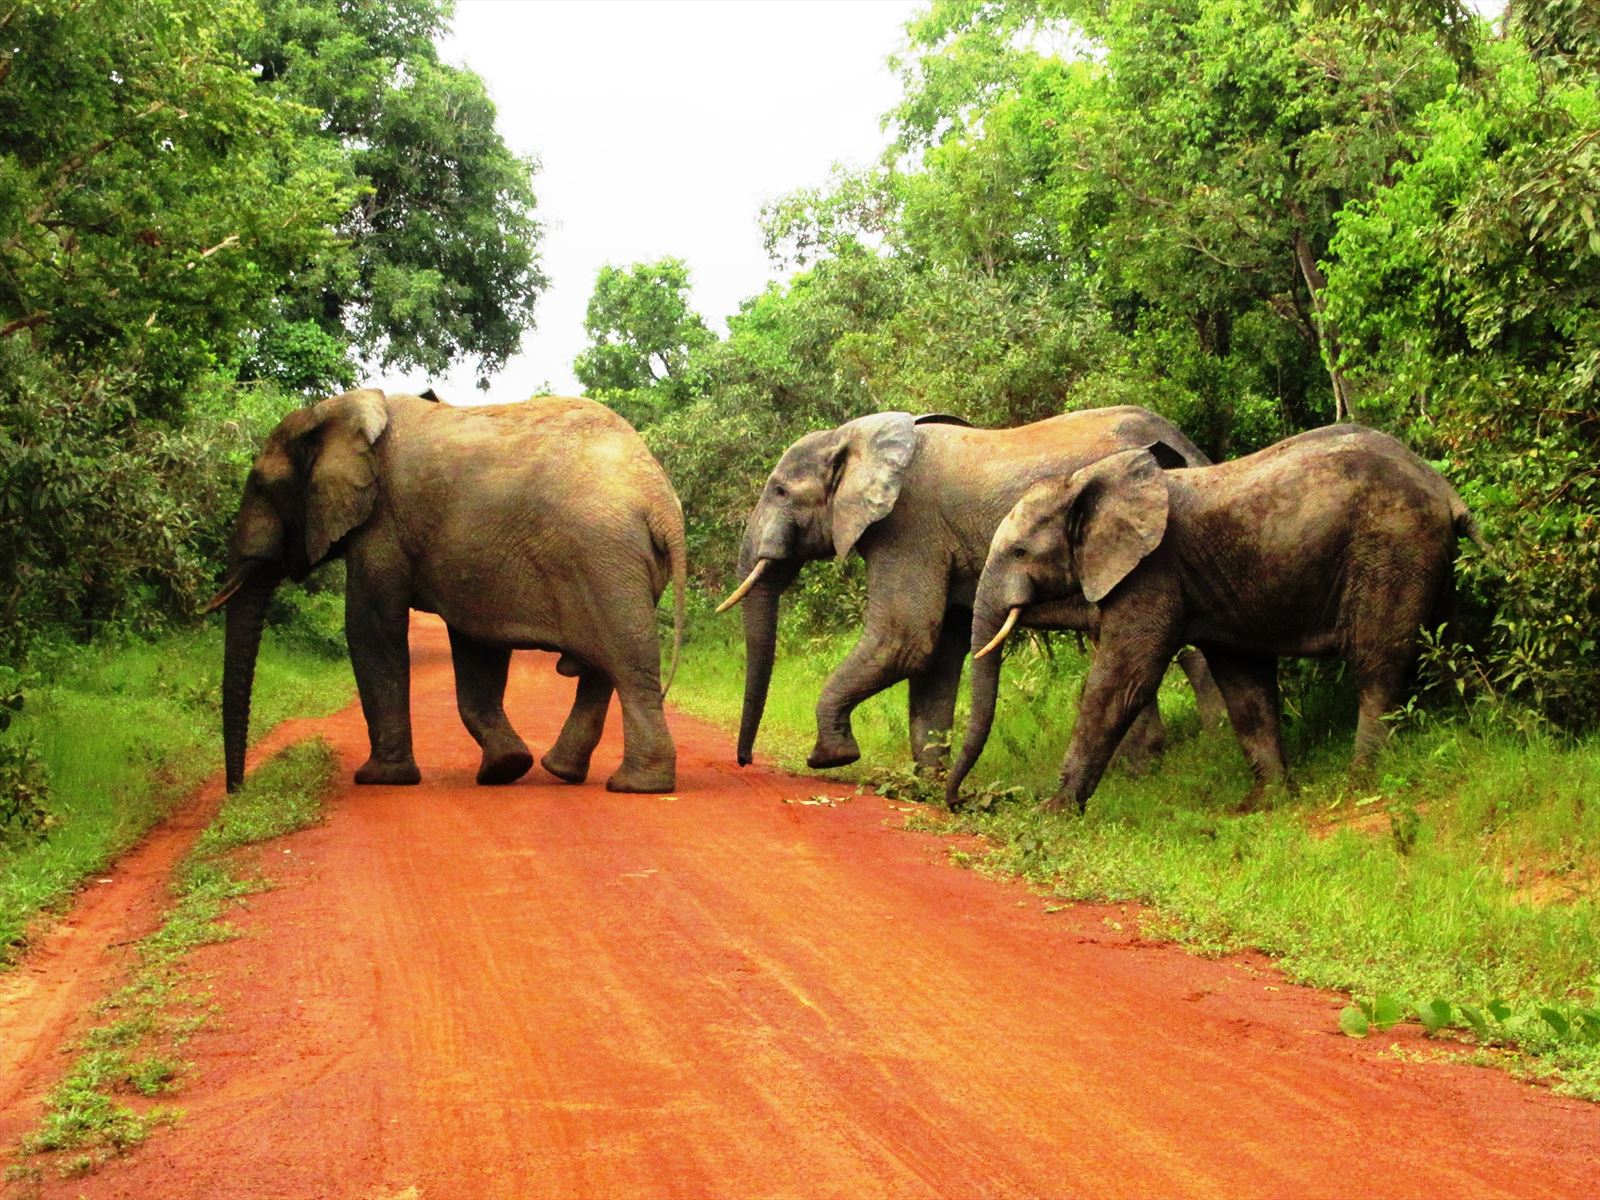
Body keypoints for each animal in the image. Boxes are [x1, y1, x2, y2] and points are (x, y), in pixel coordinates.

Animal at [206, 388, 686, 794]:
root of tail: (661, 500)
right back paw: (564, 772)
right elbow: (477, 647)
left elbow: (369, 629)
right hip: (615, 562)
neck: (337, 411)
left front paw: (380, 779)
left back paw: (636, 786)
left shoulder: (382, 525)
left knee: (629, 663)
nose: (238, 791)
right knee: (605, 669)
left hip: (602, 555)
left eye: (261, 487)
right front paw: (503, 769)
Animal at [717, 406, 1227, 775]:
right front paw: (927, 782)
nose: (745, 762)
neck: (855, 433)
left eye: (780, 492)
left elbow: (904, 639)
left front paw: (829, 759)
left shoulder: (908, 526)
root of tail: (1190, 450)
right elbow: (937, 652)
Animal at [946, 424, 1482, 814]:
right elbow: (1244, 685)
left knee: (1377, 664)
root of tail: (1446, 490)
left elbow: (1120, 683)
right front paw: (1264, 804)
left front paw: (1052, 813)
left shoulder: (1151, 572)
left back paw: (1361, 781)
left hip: (1392, 546)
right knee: (1452, 646)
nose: (963, 803)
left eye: (1019, 551)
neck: (1087, 480)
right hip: (1427, 557)